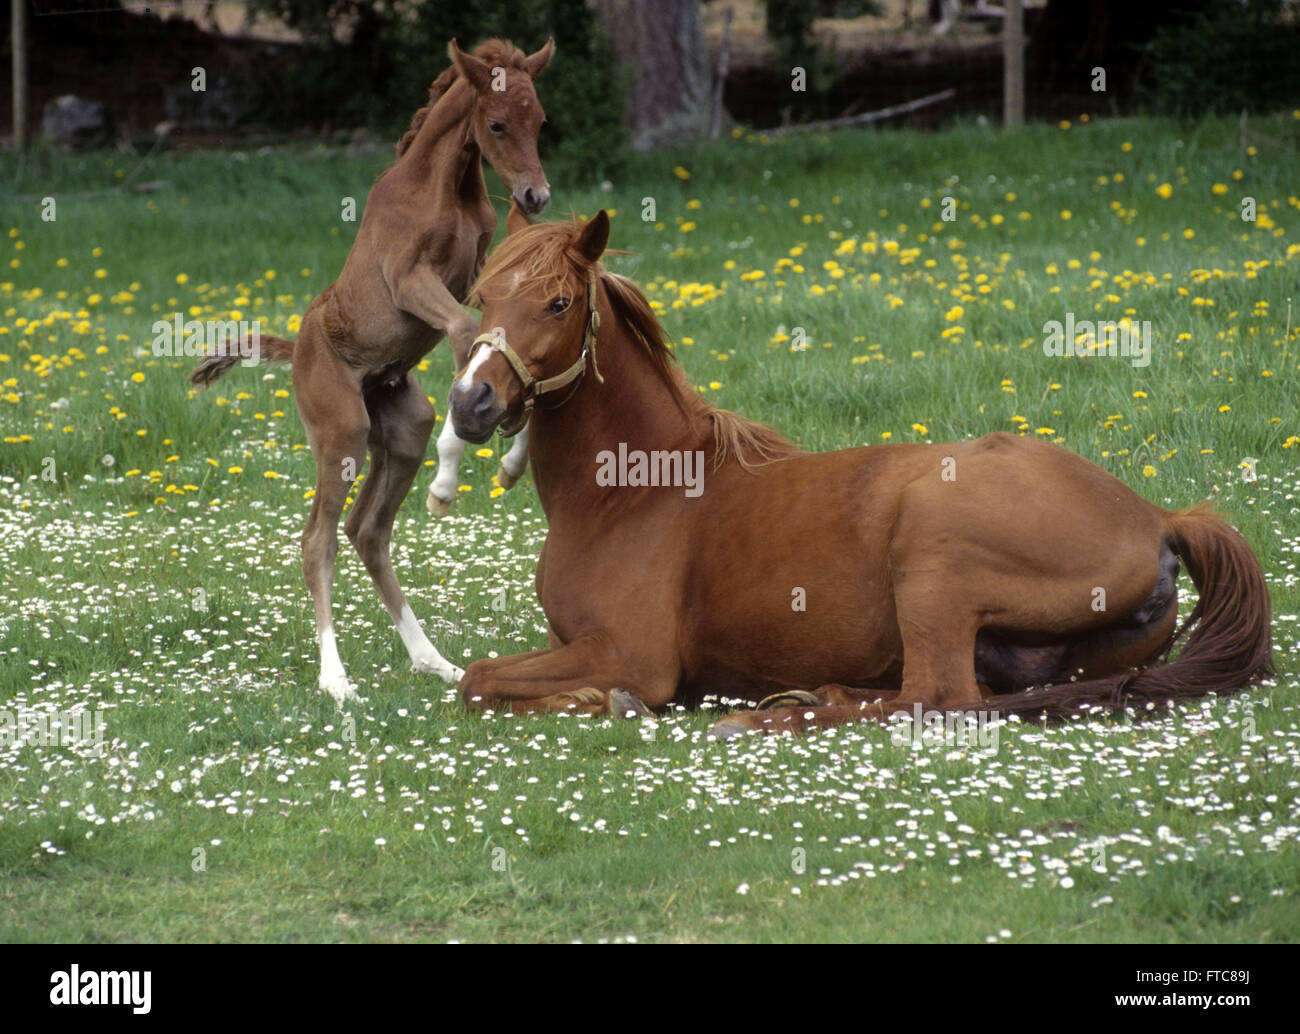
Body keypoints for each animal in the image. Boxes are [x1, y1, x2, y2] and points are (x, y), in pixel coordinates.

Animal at [189, 38, 554, 703]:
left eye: (539, 121)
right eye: (495, 124)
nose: (535, 197)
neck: (444, 185)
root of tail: (297, 349)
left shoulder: (479, 273)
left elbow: (497, 336)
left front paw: (511, 445)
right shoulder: (409, 281)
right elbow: (466, 333)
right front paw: (465, 453)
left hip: (402, 425)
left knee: (367, 531)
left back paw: (434, 661)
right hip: (343, 432)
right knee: (318, 539)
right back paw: (336, 680)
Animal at [447, 210, 1273, 737]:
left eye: (558, 302)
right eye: (481, 296)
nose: (470, 402)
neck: (635, 491)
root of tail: (1160, 520)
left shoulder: (633, 657)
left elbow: (478, 678)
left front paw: (607, 703)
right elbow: (481, 679)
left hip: (933, 561)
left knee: (937, 698)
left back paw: (768, 715)